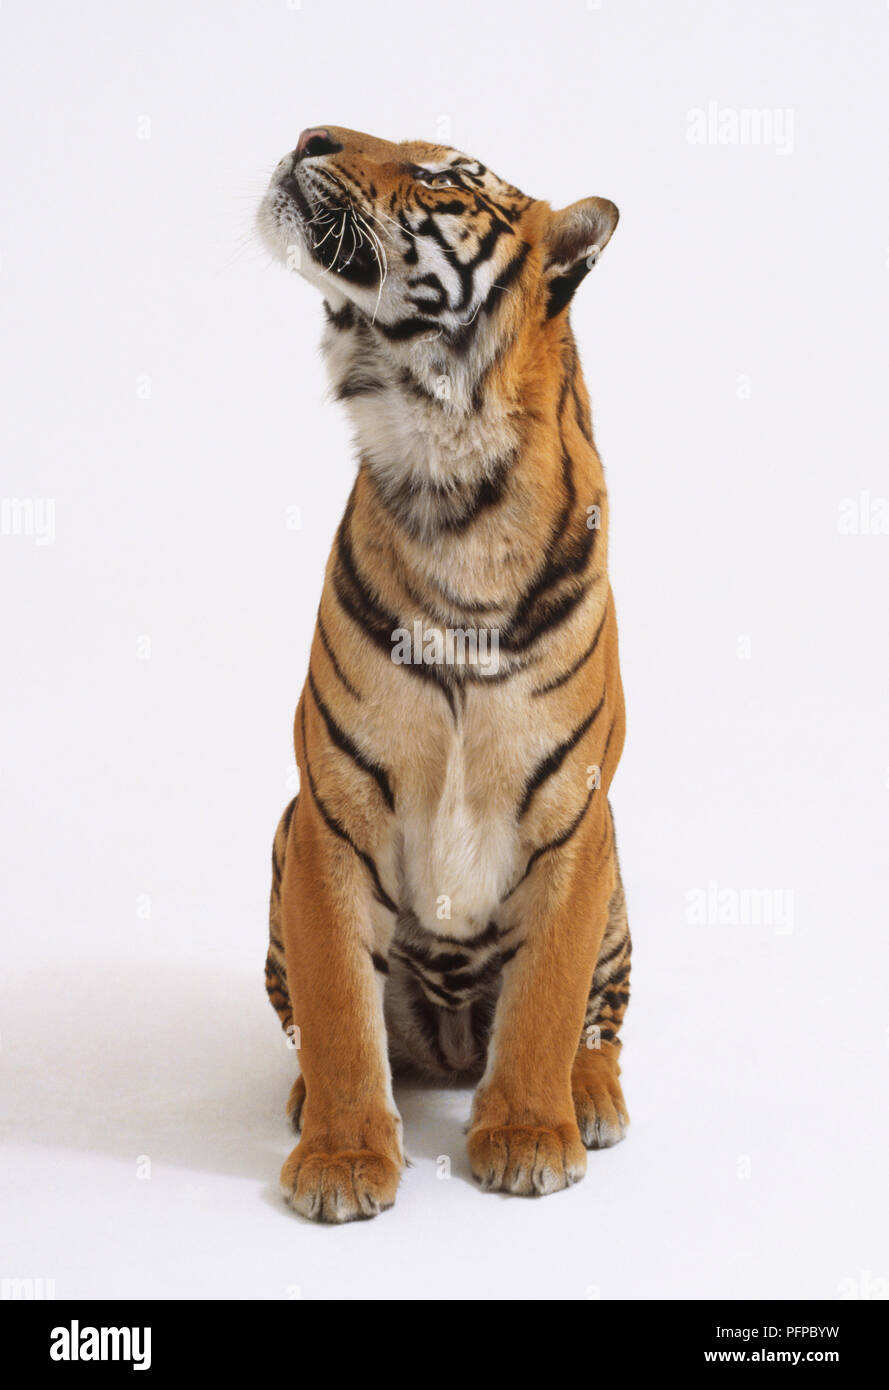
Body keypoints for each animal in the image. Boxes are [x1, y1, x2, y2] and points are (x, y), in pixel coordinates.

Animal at [257, 125, 631, 1223]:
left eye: (441, 174)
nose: (307, 134)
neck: (441, 454)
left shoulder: (574, 821)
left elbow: (547, 1000)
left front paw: (528, 1138)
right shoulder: (329, 815)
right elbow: (339, 1011)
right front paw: (342, 1158)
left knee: (600, 1019)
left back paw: (589, 1097)